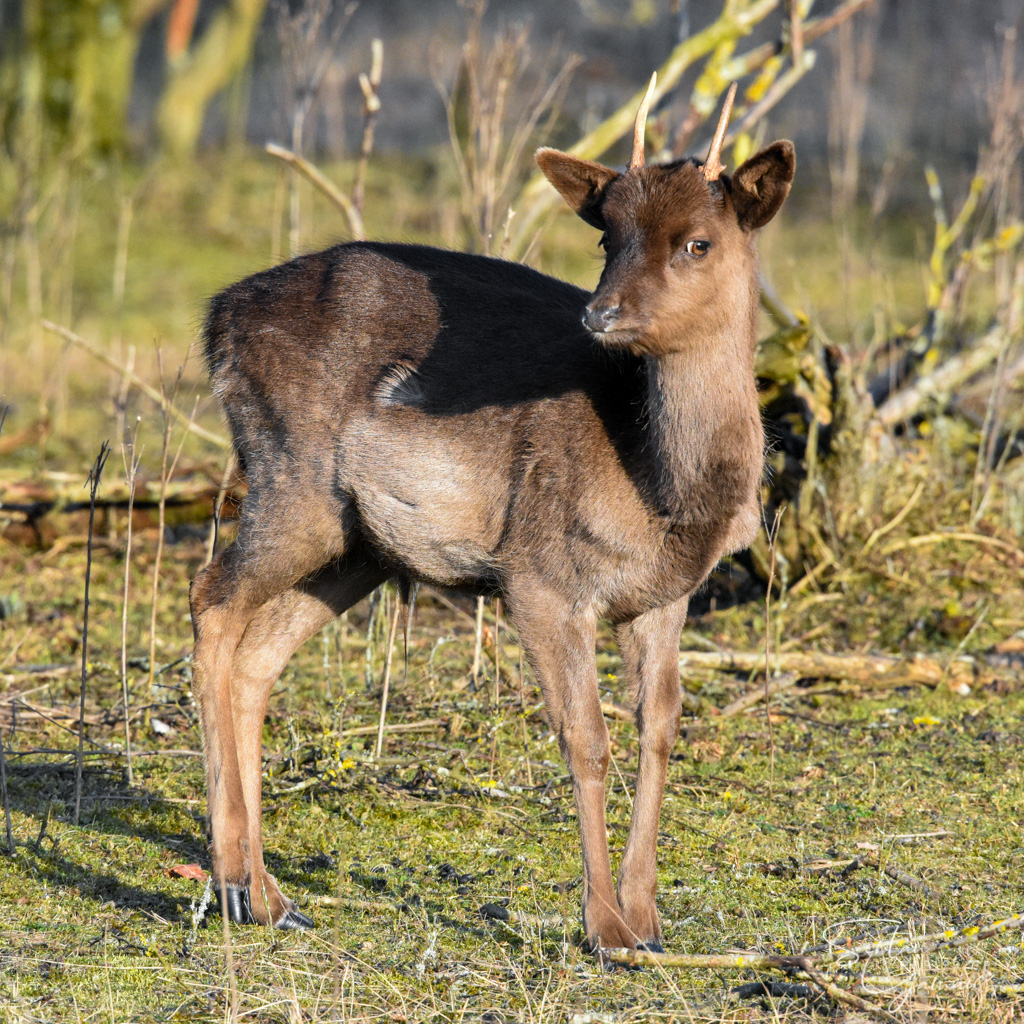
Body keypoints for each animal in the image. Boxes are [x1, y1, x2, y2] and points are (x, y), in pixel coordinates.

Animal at [190, 75, 794, 955]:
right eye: (607, 239)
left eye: (697, 243)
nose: (600, 314)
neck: (664, 496)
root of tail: (217, 321)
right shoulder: (538, 576)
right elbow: (585, 738)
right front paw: (606, 927)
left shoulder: (666, 596)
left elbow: (658, 730)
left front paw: (649, 921)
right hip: (288, 480)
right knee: (211, 602)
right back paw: (233, 880)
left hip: (357, 545)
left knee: (256, 656)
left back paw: (272, 894)